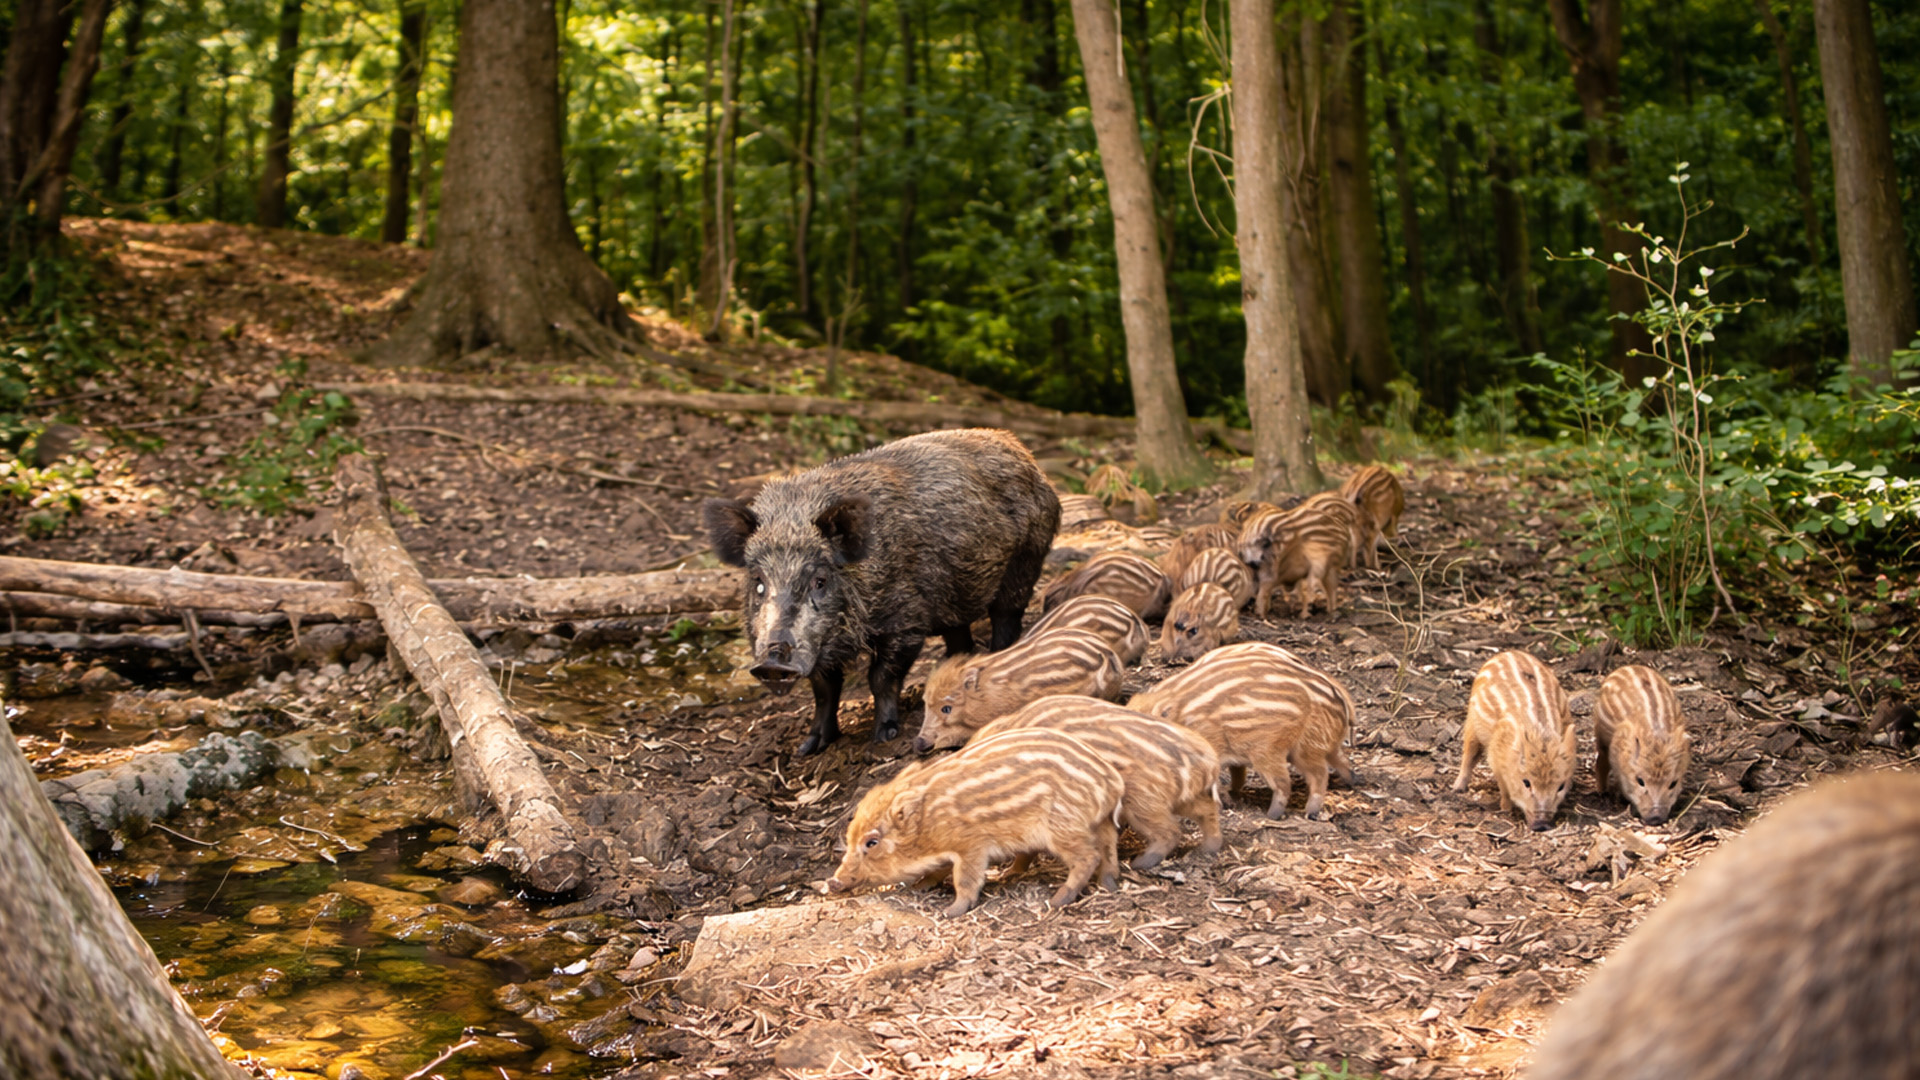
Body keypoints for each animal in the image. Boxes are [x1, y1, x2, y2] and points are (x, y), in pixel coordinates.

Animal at [704, 428, 1059, 758]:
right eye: (758, 582)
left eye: (820, 580)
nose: (773, 659)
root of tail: (1023, 452)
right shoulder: (820, 650)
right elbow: (824, 690)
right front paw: (809, 747)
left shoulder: (905, 621)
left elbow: (880, 677)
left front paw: (883, 737)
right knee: (959, 637)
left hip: (1026, 561)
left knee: (1006, 619)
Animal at [826, 728, 1124, 916]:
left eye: (871, 842)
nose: (833, 881)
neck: (929, 821)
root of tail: (1110, 780)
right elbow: (938, 871)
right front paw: (919, 886)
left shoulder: (971, 847)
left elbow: (965, 880)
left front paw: (951, 912)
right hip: (1100, 824)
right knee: (1108, 850)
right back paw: (1108, 885)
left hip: (1063, 828)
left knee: (1088, 857)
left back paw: (1056, 900)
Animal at [973, 696, 1223, 868]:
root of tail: (1207, 757)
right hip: (1176, 797)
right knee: (1206, 809)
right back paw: (1210, 848)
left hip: (1142, 800)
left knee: (1170, 830)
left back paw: (1141, 863)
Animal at [1453, 650, 1576, 831]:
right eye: (1526, 783)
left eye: (1560, 786)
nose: (1541, 825)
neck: (1541, 735)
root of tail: (1508, 652)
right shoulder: (1495, 759)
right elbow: (1503, 787)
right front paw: (1505, 809)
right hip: (1472, 723)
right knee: (1469, 753)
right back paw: (1457, 788)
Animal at [1594, 664, 1690, 826]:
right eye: (1640, 781)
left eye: (1673, 783)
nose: (1655, 818)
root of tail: (1626, 667)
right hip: (1600, 736)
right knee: (1601, 762)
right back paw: (1602, 792)